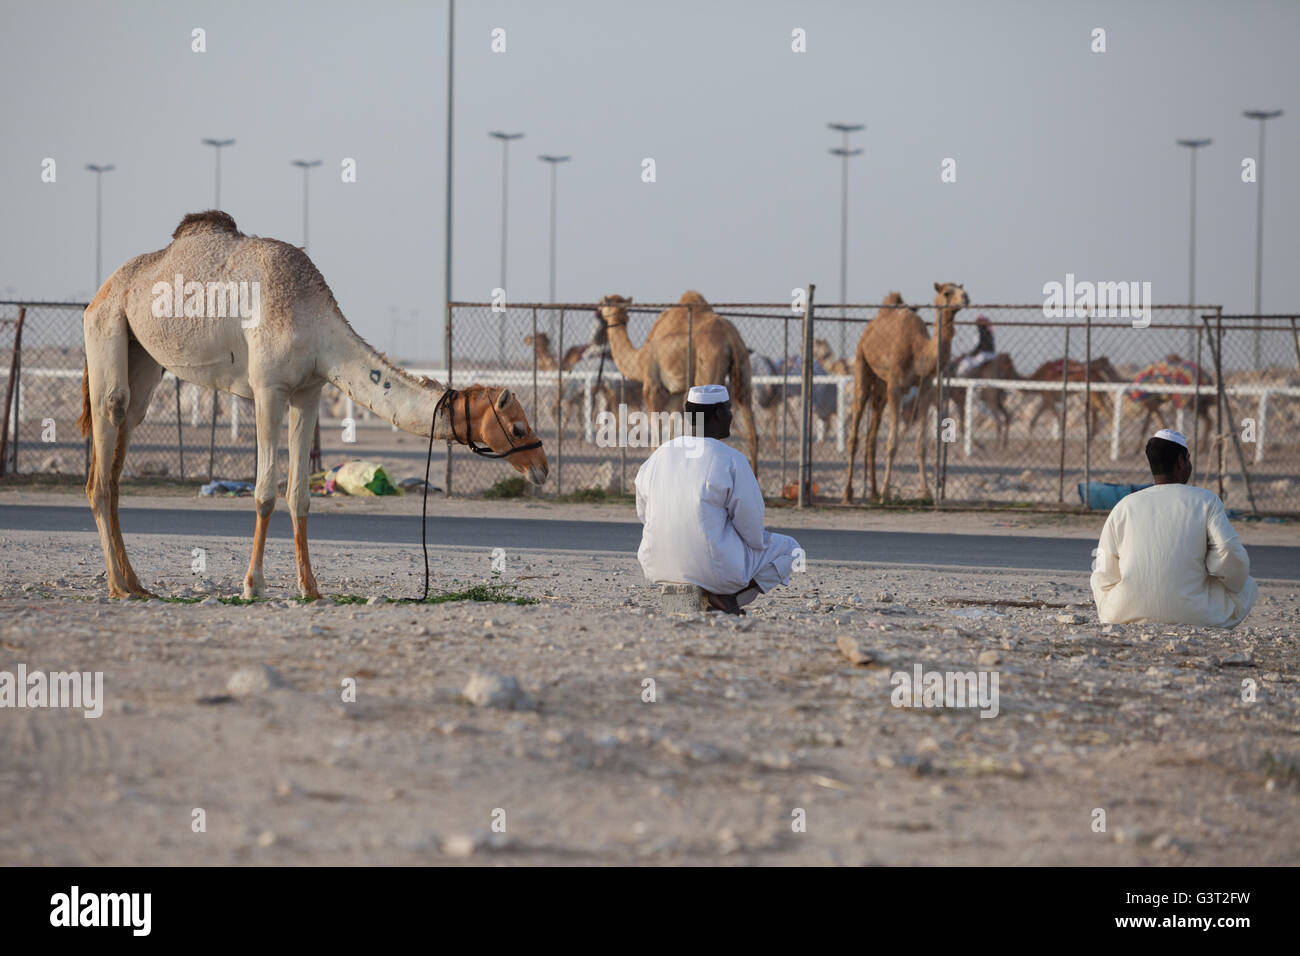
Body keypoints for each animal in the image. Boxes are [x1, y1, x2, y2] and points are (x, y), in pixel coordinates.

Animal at [80, 210, 548, 601]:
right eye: (518, 427)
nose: (542, 467)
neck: (317, 328)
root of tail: (102, 292)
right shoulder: (268, 389)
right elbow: (265, 493)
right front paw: (252, 586)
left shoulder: (309, 392)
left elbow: (299, 495)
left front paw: (311, 588)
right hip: (106, 328)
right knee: (105, 446)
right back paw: (117, 587)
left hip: (142, 357)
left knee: (121, 452)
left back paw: (136, 584)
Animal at [595, 291, 759, 472]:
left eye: (604, 303)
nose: (597, 309)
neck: (640, 358)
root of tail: (730, 337)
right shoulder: (676, 394)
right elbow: (670, 434)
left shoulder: (653, 387)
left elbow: (656, 439)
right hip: (743, 368)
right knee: (751, 431)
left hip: (708, 368)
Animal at [842, 283, 969, 503]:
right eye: (947, 292)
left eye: (961, 288)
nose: (966, 297)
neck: (919, 352)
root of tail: (869, 329)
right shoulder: (896, 387)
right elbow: (892, 443)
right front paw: (886, 492)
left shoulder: (926, 388)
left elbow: (921, 445)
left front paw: (926, 492)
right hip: (862, 363)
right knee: (855, 430)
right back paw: (848, 494)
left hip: (881, 387)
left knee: (872, 436)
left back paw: (873, 492)